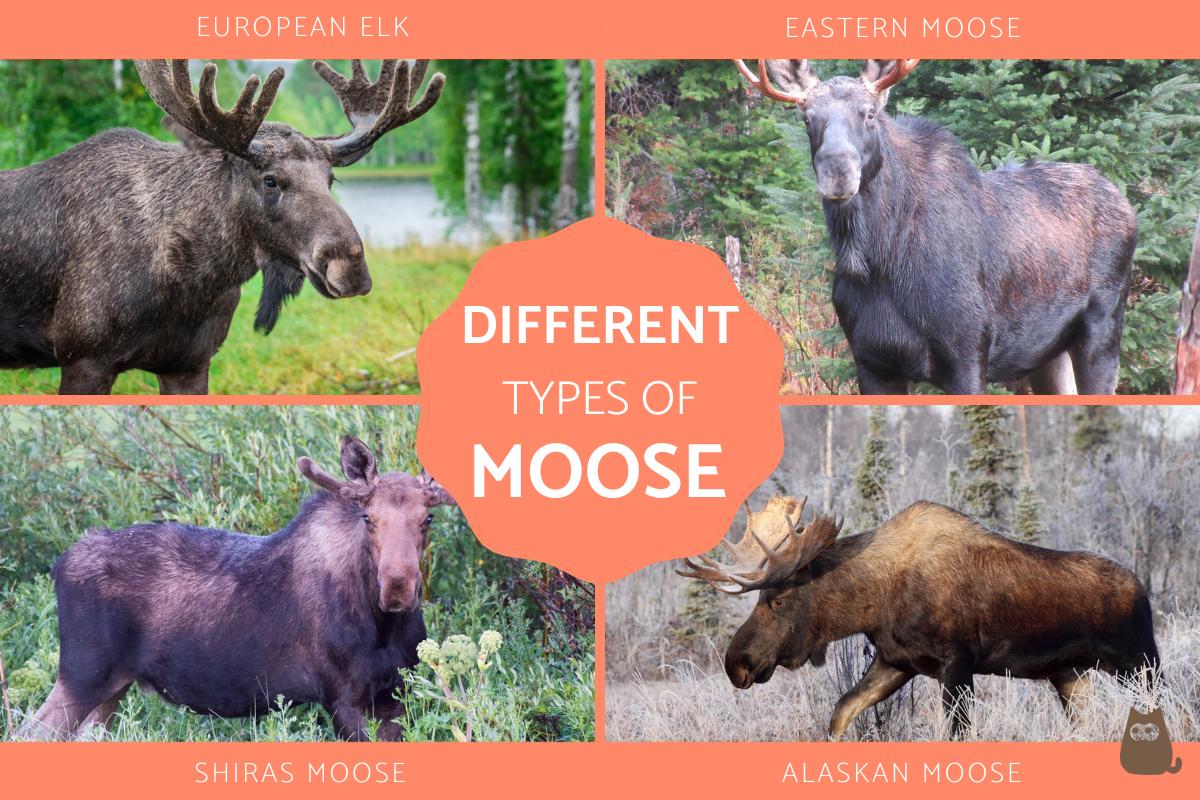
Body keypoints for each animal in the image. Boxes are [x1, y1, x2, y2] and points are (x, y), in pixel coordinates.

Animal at [0, 59, 443, 394]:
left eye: (330, 179)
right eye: (270, 180)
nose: (350, 266)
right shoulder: (84, 359)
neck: (192, 283)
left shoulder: (190, 364)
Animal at [679, 496, 1159, 738]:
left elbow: (958, 735)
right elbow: (840, 714)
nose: (736, 663)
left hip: (1140, 664)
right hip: (1071, 676)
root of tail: (1143, 588)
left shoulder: (957, 663)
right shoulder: (896, 662)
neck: (873, 600)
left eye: (776, 600)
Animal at [734, 60, 1136, 395]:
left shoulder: (969, 352)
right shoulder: (871, 361)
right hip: (1046, 353)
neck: (878, 263)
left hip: (1103, 328)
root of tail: (1126, 202)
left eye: (869, 113)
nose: (837, 168)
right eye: (807, 118)